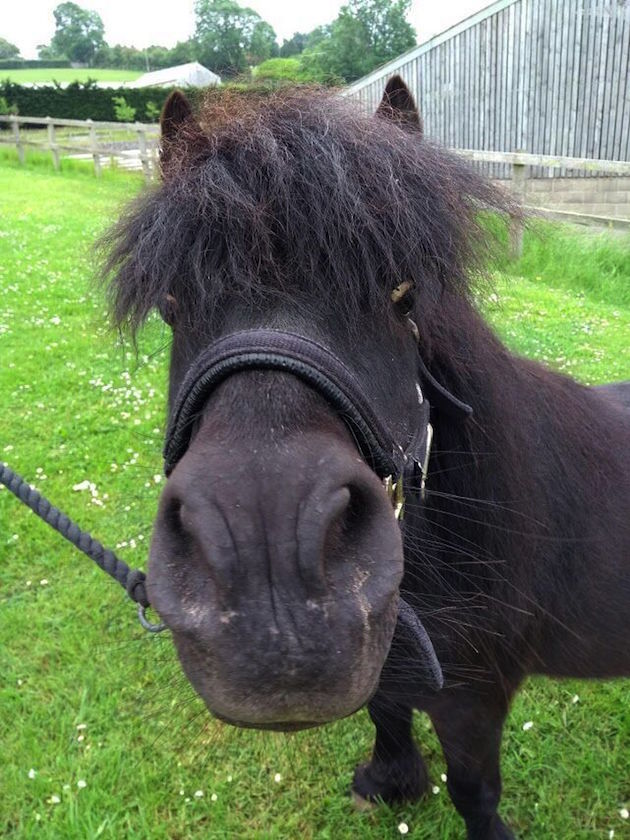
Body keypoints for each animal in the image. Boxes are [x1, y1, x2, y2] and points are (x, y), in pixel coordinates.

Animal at [100, 78, 630, 839]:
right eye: (172, 301)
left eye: (403, 291)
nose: (271, 586)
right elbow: (386, 711)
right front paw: (391, 781)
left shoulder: (476, 696)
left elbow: (473, 789)